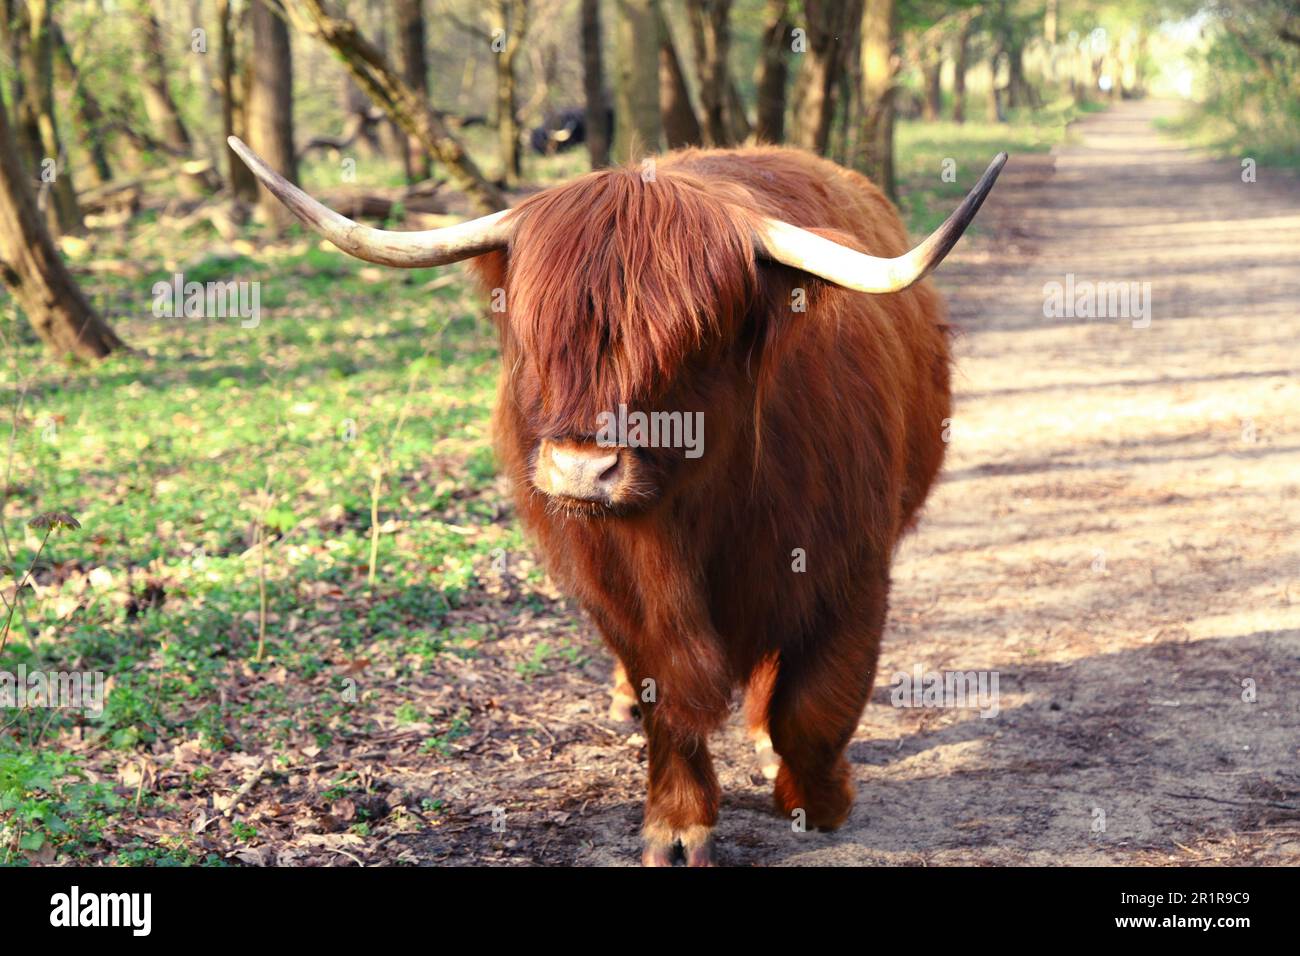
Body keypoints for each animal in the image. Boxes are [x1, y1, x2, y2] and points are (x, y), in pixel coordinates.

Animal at [228, 136, 1005, 866]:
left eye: (696, 336)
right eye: (535, 334)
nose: (581, 470)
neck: (693, 518)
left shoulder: (851, 570)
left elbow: (812, 707)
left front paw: (818, 800)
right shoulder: (613, 587)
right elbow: (664, 696)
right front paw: (678, 825)